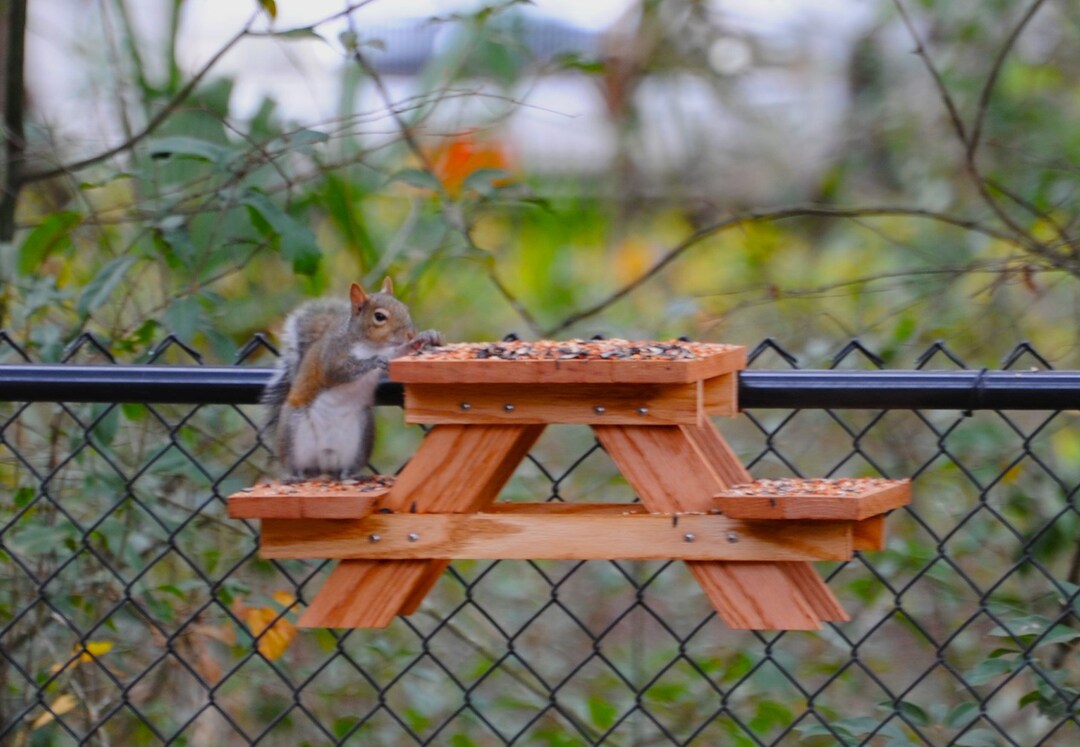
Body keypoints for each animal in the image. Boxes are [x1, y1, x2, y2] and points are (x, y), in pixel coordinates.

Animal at [262, 278, 443, 483]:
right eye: (379, 316)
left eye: (404, 307)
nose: (410, 334)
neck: (371, 345)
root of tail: (324, 465)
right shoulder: (332, 358)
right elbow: (339, 372)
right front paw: (373, 360)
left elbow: (398, 353)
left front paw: (425, 337)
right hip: (292, 430)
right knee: (297, 466)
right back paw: (295, 477)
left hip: (360, 437)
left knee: (345, 469)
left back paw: (353, 476)